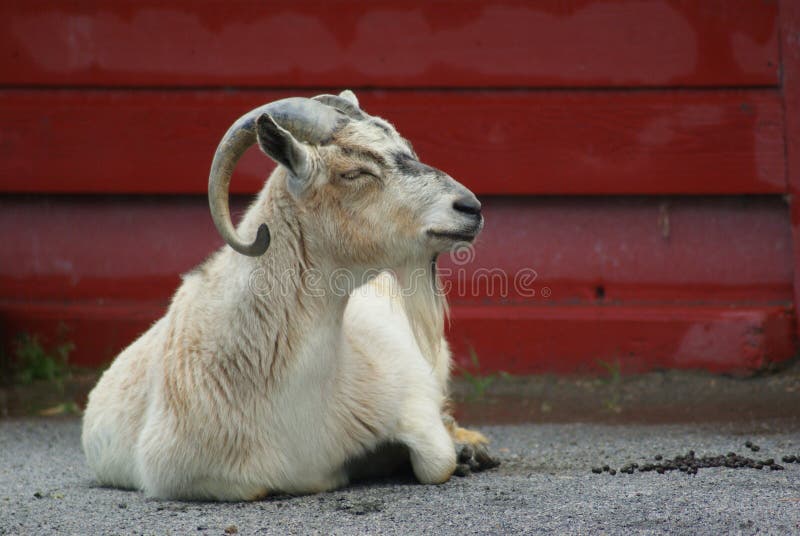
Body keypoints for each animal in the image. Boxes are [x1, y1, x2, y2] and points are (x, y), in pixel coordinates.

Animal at [81, 90, 498, 501]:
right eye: (354, 172)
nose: (469, 207)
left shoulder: (410, 393)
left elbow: (436, 461)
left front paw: (462, 453)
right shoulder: (189, 476)